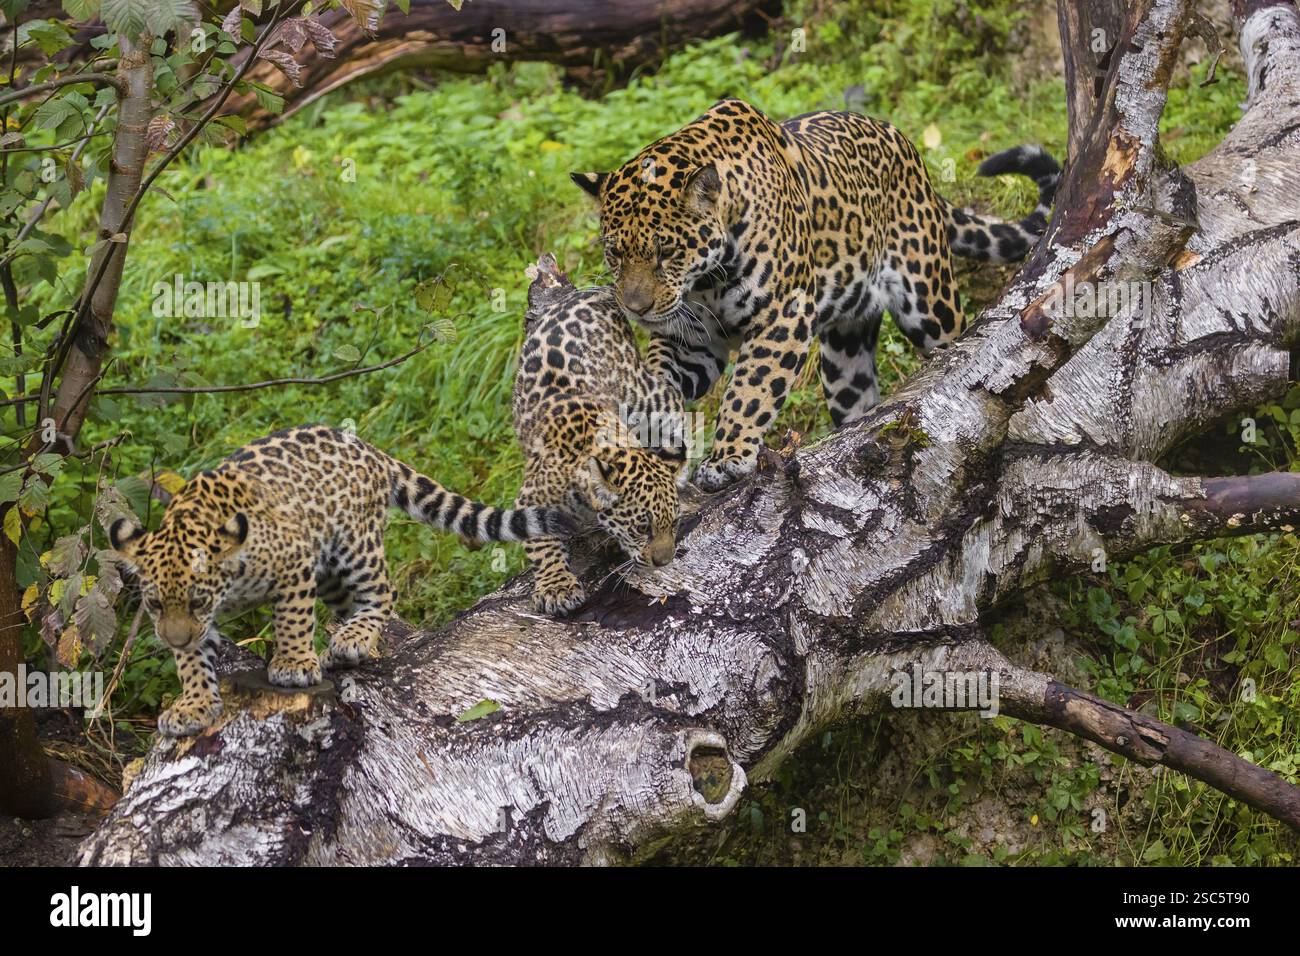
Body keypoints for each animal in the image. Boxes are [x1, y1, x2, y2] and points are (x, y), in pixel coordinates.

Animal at [107, 425, 572, 735]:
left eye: (199, 601)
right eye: (154, 605)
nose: (175, 637)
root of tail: (370, 450)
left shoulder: (292, 565)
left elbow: (292, 620)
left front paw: (293, 664)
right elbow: (191, 662)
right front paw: (194, 704)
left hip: (354, 544)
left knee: (384, 592)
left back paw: (351, 641)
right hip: (330, 571)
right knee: (357, 609)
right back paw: (352, 648)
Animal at [512, 254, 688, 617]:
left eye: (675, 523)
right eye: (643, 527)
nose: (664, 562)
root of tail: (595, 291)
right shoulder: (530, 499)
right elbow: (541, 545)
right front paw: (557, 588)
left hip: (640, 391)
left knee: (673, 399)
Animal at [571, 98, 1060, 490]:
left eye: (666, 251)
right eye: (614, 252)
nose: (636, 309)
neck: (706, 278)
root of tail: (906, 147)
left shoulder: (782, 315)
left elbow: (749, 391)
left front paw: (726, 459)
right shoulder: (692, 339)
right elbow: (662, 371)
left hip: (930, 301)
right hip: (845, 357)